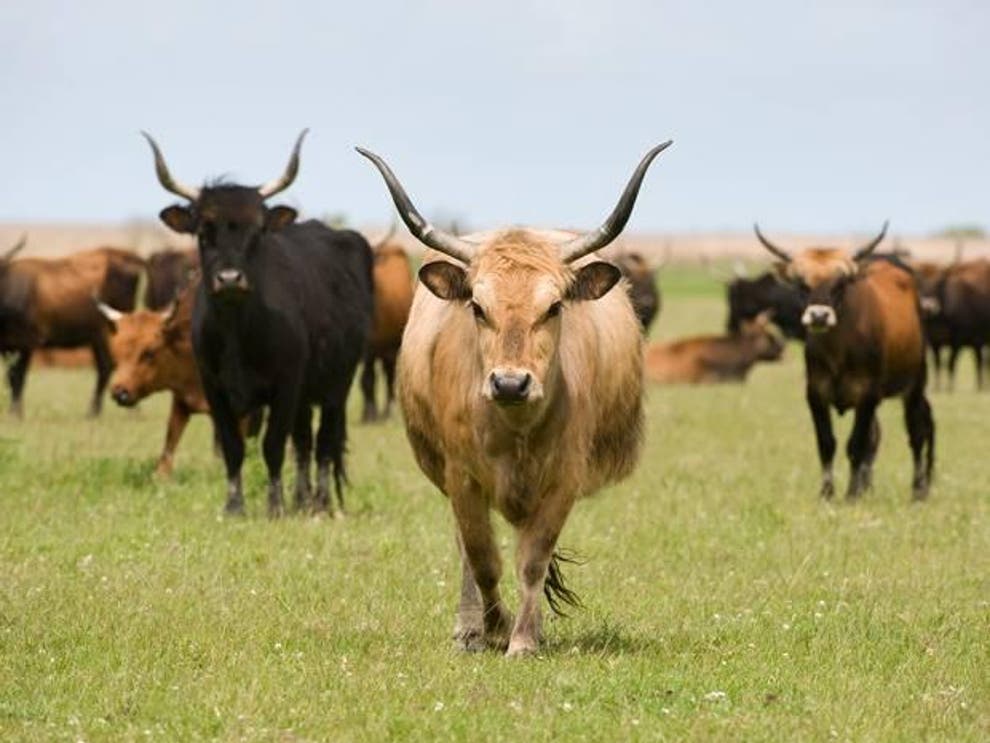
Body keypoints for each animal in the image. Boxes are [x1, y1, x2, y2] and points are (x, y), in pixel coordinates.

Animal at [0, 237, 144, 417]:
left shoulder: (27, 342)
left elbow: (18, 377)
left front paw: (16, 413)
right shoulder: (6, 346)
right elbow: (10, 377)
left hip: (108, 331)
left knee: (108, 366)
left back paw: (100, 412)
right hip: (96, 337)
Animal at [141, 130, 374, 516]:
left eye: (258, 232)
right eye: (203, 232)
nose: (230, 279)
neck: (236, 328)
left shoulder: (285, 385)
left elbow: (273, 446)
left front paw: (275, 506)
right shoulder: (214, 387)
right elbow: (234, 447)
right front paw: (234, 506)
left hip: (337, 385)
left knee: (324, 443)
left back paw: (320, 503)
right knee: (304, 442)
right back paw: (302, 500)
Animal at [360, 224, 414, 422]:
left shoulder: (371, 348)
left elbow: (369, 378)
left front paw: (371, 414)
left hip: (391, 348)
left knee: (389, 375)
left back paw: (388, 411)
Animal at [755, 222, 934, 500]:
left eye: (840, 283)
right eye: (802, 284)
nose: (819, 315)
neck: (838, 353)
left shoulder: (867, 395)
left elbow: (856, 445)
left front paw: (851, 495)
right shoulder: (815, 395)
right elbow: (827, 443)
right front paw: (827, 493)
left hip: (914, 386)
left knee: (916, 433)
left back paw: (917, 491)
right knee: (876, 436)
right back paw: (868, 487)